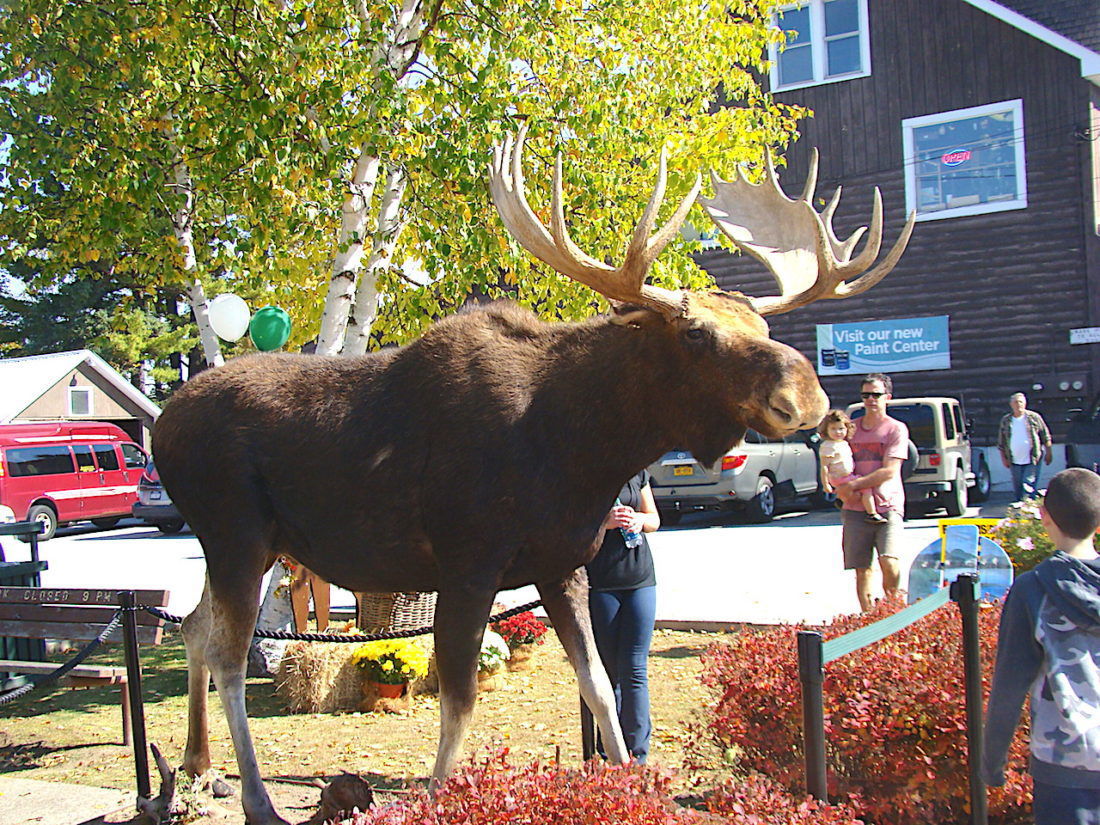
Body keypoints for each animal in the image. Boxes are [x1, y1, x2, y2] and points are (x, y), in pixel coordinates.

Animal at [152, 126, 914, 825]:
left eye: (761, 322)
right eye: (696, 334)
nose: (806, 395)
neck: (581, 451)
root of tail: (159, 426)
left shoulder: (562, 563)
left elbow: (600, 683)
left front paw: (634, 784)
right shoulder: (467, 563)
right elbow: (458, 699)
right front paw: (440, 795)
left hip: (256, 547)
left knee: (191, 626)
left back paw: (199, 768)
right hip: (236, 535)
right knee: (228, 656)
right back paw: (255, 797)